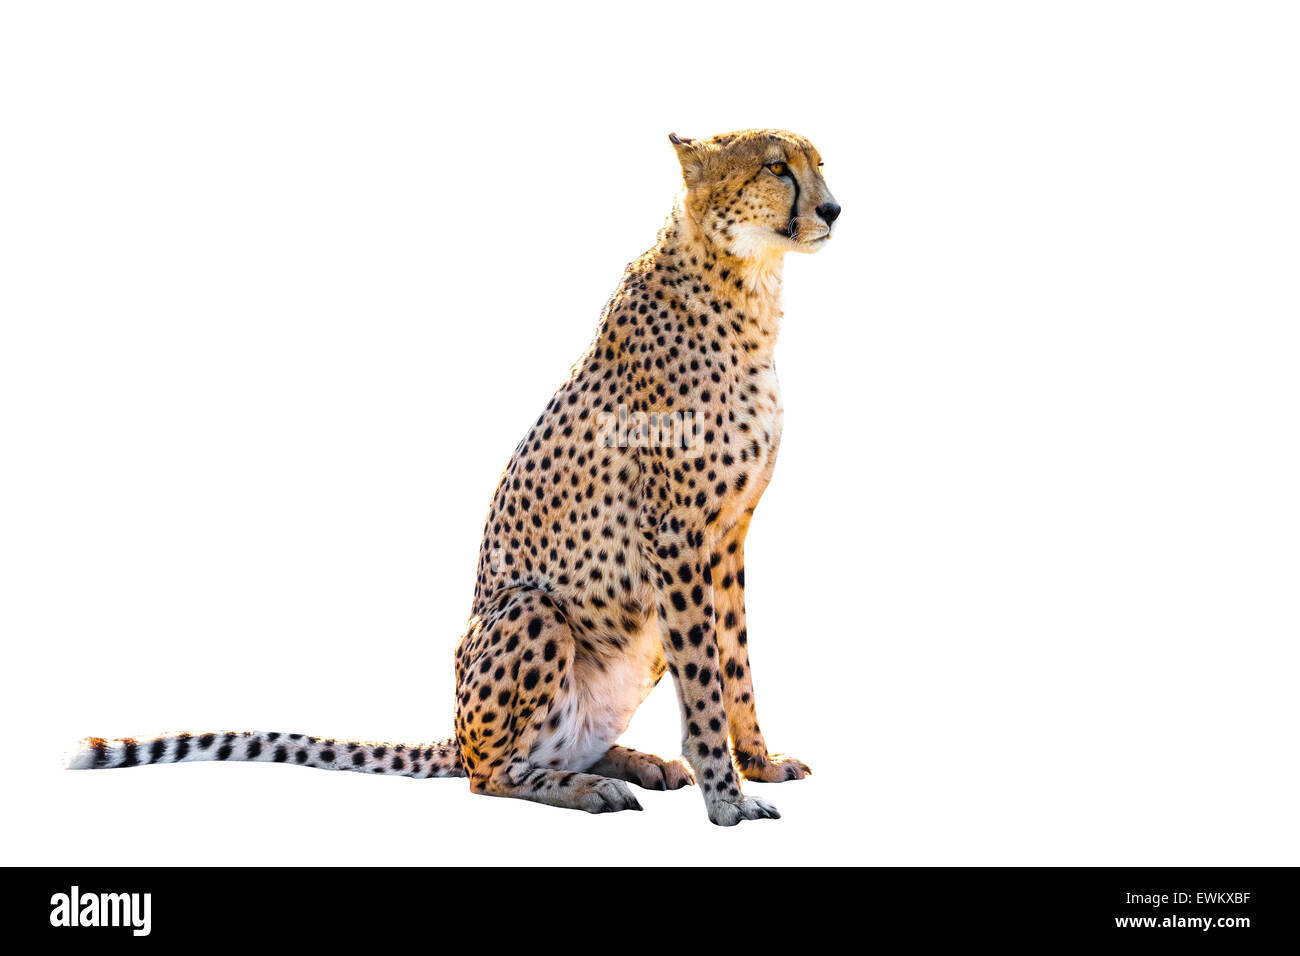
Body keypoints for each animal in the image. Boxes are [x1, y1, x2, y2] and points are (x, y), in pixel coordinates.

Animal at [66, 128, 841, 826]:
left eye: (819, 164)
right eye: (777, 167)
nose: (834, 210)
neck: (748, 286)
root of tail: (458, 734)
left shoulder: (727, 535)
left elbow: (735, 663)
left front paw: (758, 764)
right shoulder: (677, 535)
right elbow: (707, 680)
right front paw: (728, 799)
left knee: (562, 745)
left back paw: (636, 763)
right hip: (531, 608)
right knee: (491, 775)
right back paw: (591, 787)